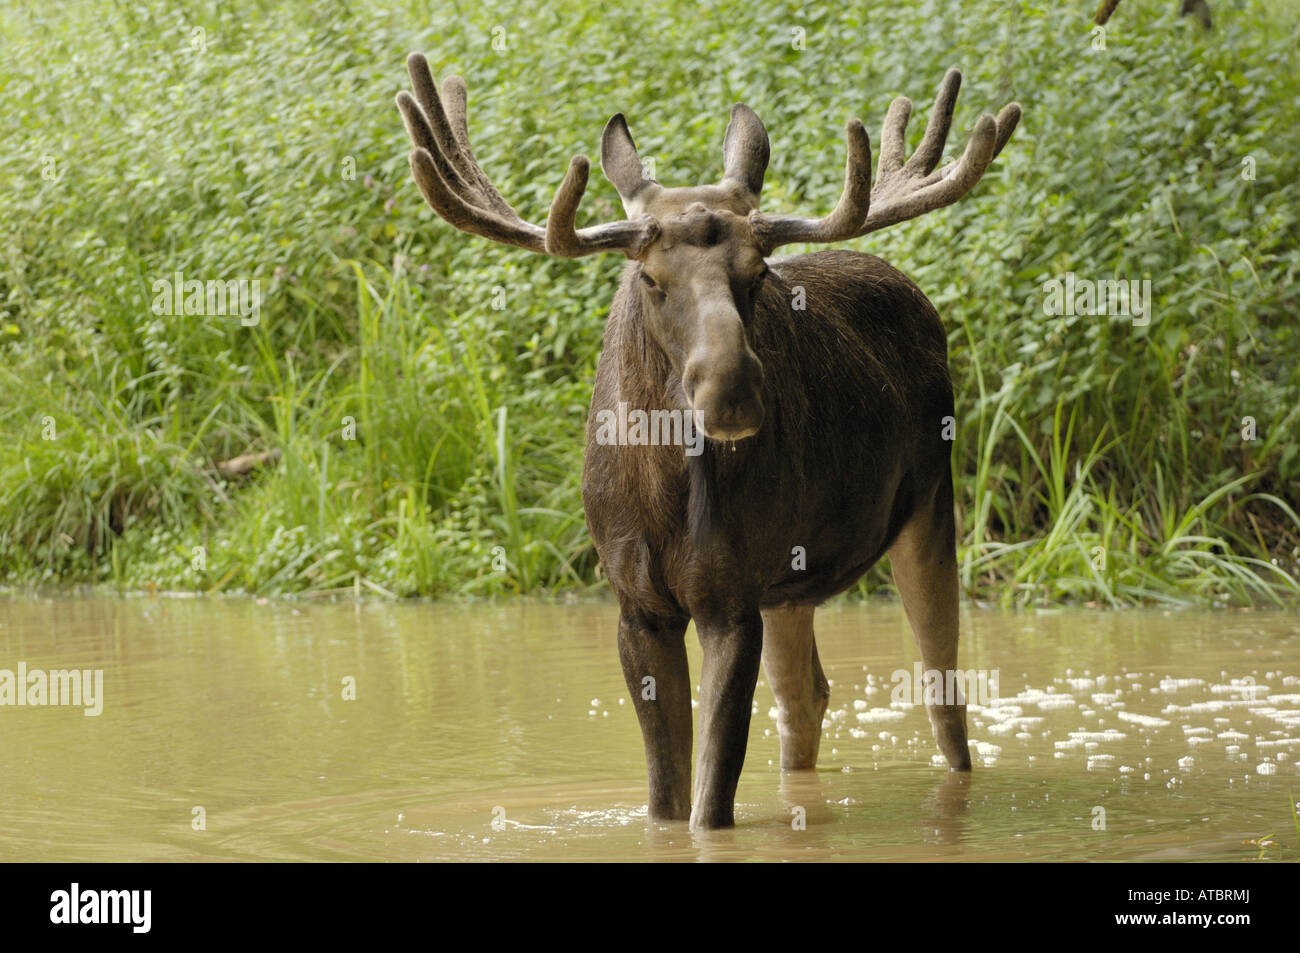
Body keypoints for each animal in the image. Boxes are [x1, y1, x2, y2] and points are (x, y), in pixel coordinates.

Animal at [396, 53, 1020, 829]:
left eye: (760, 271)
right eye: (650, 276)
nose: (731, 390)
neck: (661, 495)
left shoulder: (731, 598)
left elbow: (710, 798)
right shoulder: (638, 602)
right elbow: (667, 795)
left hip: (929, 506)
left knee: (944, 699)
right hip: (792, 583)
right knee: (808, 698)